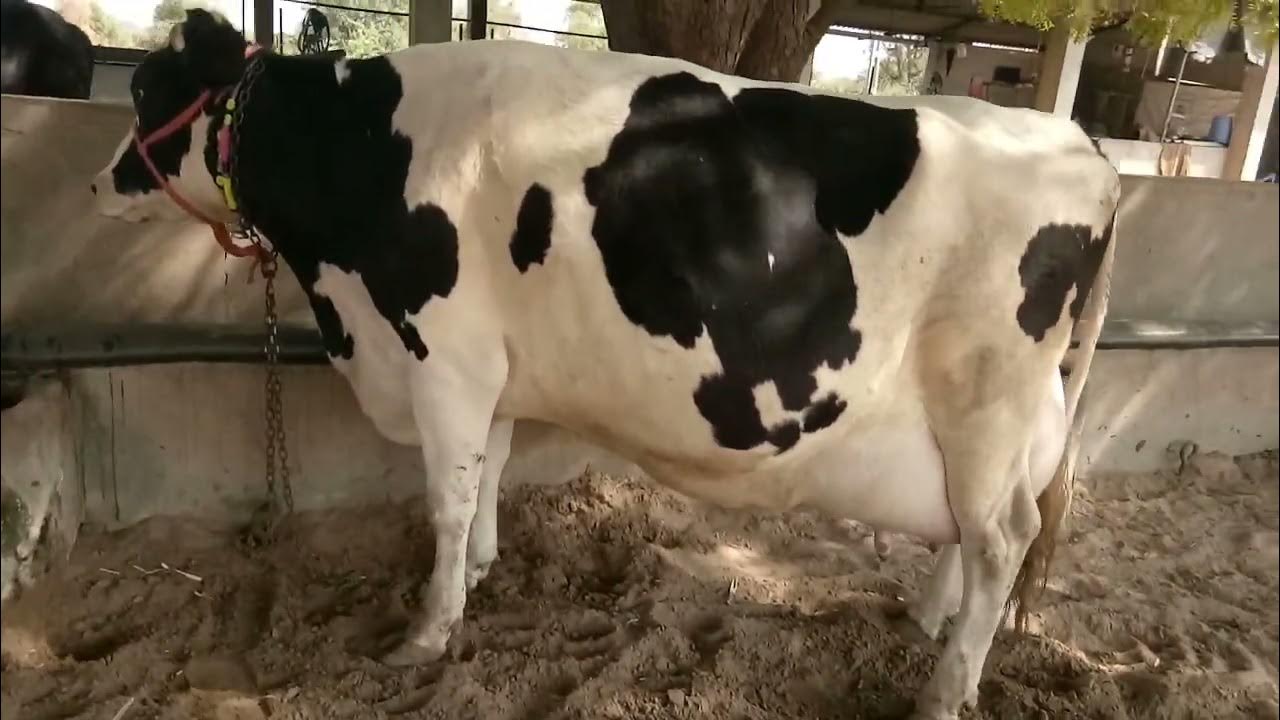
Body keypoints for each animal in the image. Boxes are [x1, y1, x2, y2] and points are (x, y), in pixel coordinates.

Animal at [92, 10, 1119, 718]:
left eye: (145, 91)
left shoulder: (443, 354)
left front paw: (427, 631)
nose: (102, 179)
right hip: (987, 419)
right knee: (971, 533)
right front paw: (480, 574)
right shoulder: (494, 366)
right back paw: (927, 625)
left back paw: (943, 690)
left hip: (984, 394)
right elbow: (492, 469)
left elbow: (448, 495)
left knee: (1002, 538)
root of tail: (1085, 147)